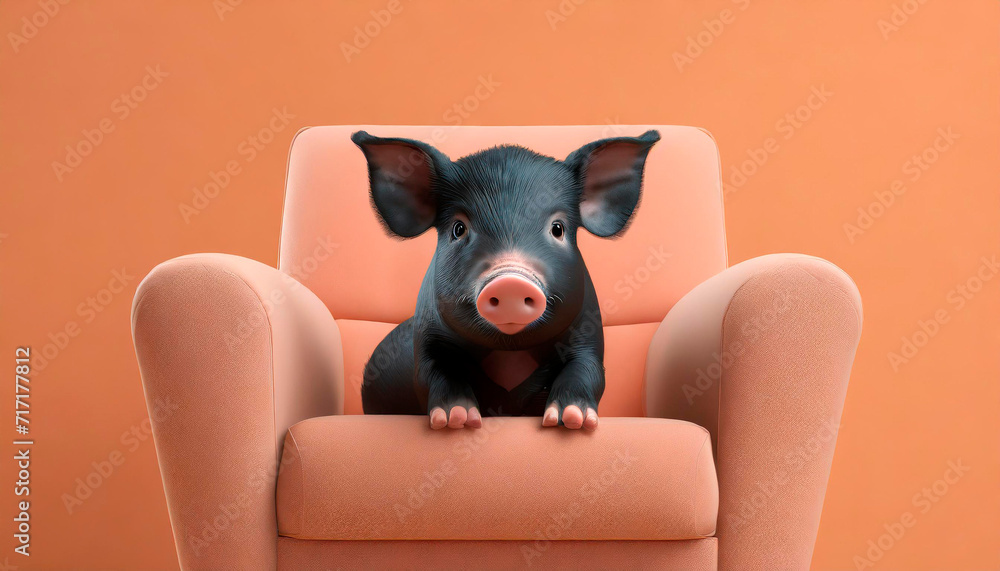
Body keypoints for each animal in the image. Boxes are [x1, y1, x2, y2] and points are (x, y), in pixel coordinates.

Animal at [352, 129, 660, 430]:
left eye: (558, 228)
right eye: (458, 229)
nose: (510, 281)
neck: (509, 351)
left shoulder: (588, 332)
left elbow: (587, 370)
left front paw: (573, 420)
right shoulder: (428, 336)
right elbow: (433, 374)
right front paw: (456, 419)